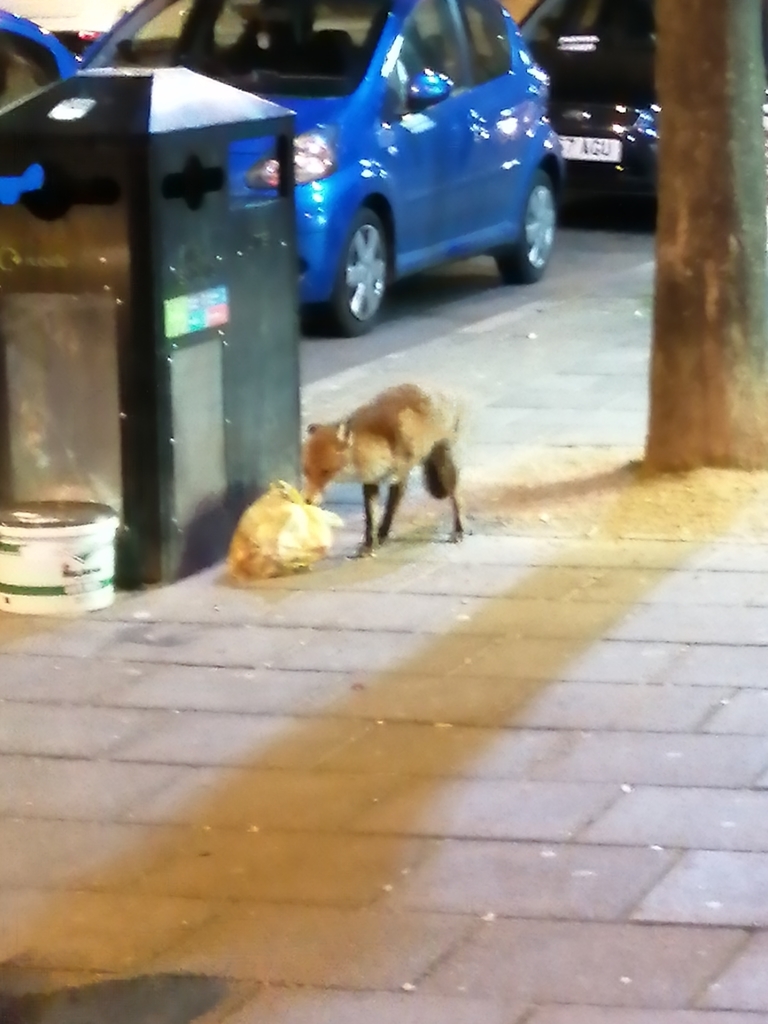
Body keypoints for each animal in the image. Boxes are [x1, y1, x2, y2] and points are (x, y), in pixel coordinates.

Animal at [302, 383, 464, 556]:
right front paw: (368, 544)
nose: (307, 500)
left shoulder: (399, 476)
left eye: (325, 472)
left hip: (443, 469)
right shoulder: (371, 481)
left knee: (455, 496)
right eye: (306, 471)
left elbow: (389, 511)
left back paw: (458, 529)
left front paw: (381, 536)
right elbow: (370, 518)